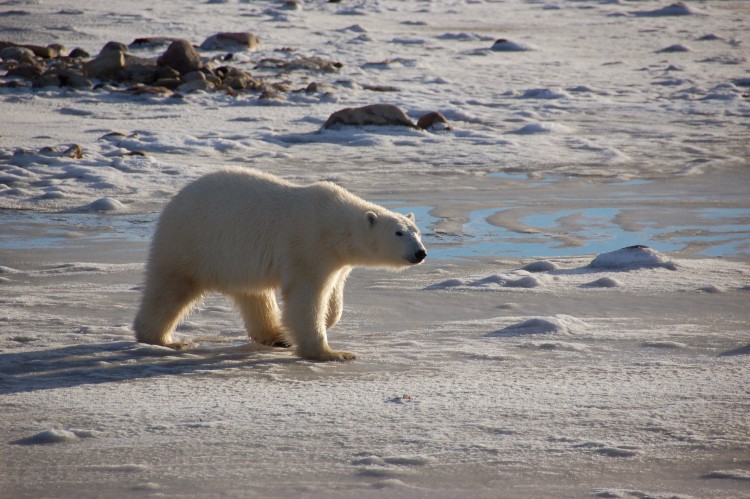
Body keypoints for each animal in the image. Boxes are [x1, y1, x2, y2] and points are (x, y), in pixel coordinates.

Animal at [133, 167, 427, 361]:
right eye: (399, 233)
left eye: (417, 232)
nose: (420, 253)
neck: (335, 225)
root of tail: (173, 202)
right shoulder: (308, 243)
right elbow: (306, 297)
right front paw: (332, 353)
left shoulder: (337, 260)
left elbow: (333, 295)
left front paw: (322, 322)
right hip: (192, 242)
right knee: (170, 289)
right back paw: (162, 340)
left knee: (253, 296)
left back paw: (275, 336)